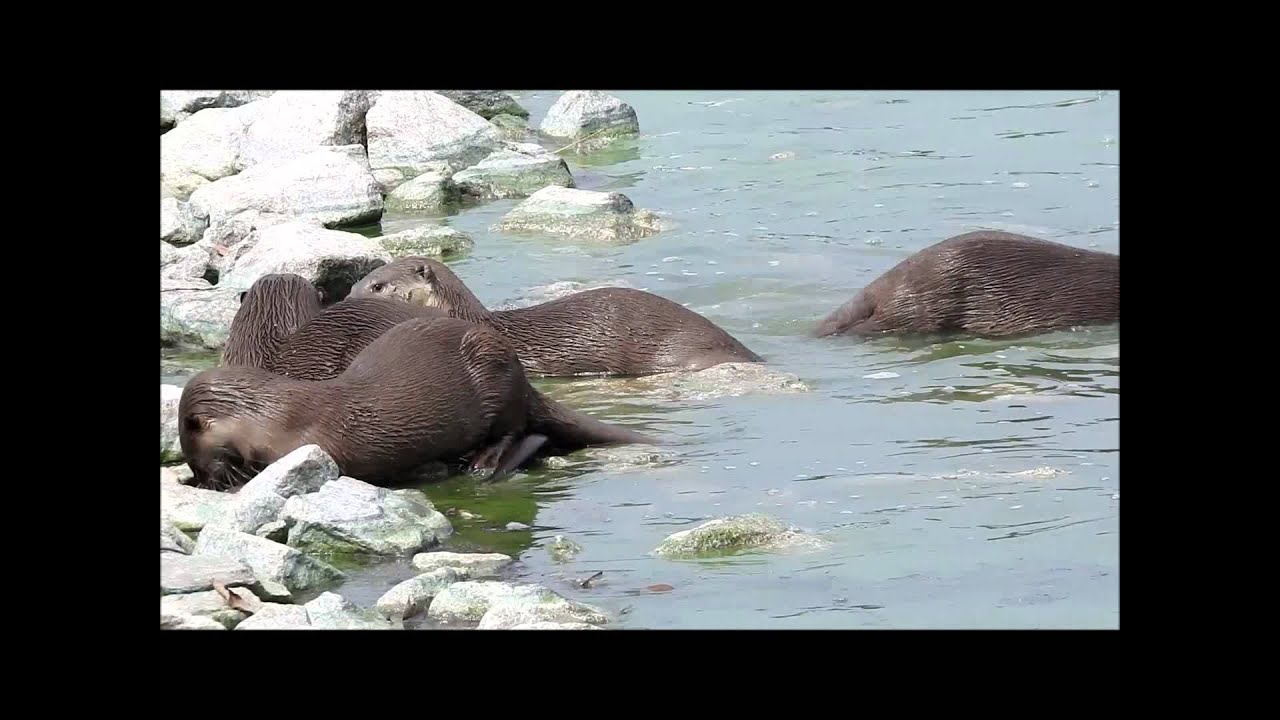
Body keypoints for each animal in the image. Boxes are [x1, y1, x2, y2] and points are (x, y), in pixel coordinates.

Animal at [179, 316, 659, 491]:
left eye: (198, 456)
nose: (202, 481)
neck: (278, 418)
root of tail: (525, 378)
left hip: (495, 374)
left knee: (522, 431)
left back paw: (483, 463)